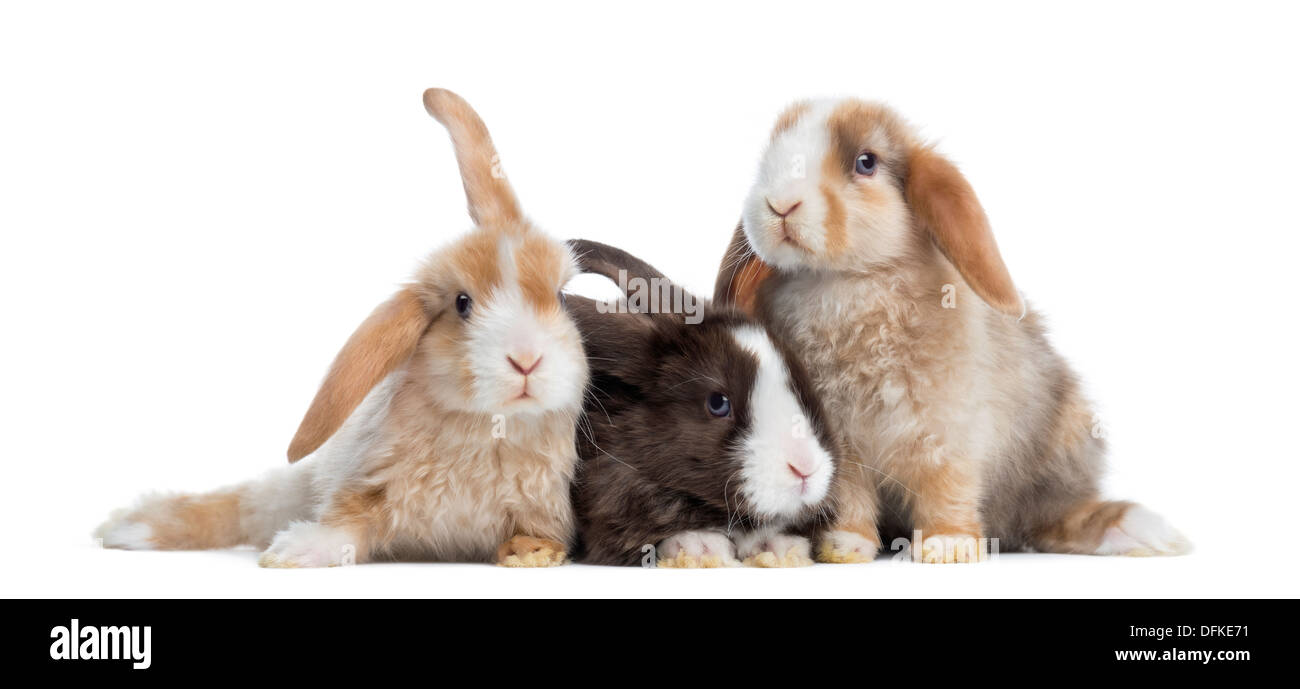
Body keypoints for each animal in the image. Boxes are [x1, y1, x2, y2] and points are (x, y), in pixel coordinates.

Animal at [93, 88, 589, 567]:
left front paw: (532, 554)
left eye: (560, 298)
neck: (489, 426)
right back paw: (126, 528)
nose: (527, 360)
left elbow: (533, 533)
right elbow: (345, 527)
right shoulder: (368, 489)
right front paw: (291, 553)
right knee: (241, 505)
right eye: (462, 303)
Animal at [714, 99, 1190, 563]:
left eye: (866, 162)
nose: (779, 204)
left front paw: (948, 545)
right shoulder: (839, 443)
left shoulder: (948, 429)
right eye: (767, 157)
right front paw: (844, 546)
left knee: (1057, 516)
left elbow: (946, 485)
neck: (846, 281)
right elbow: (847, 492)